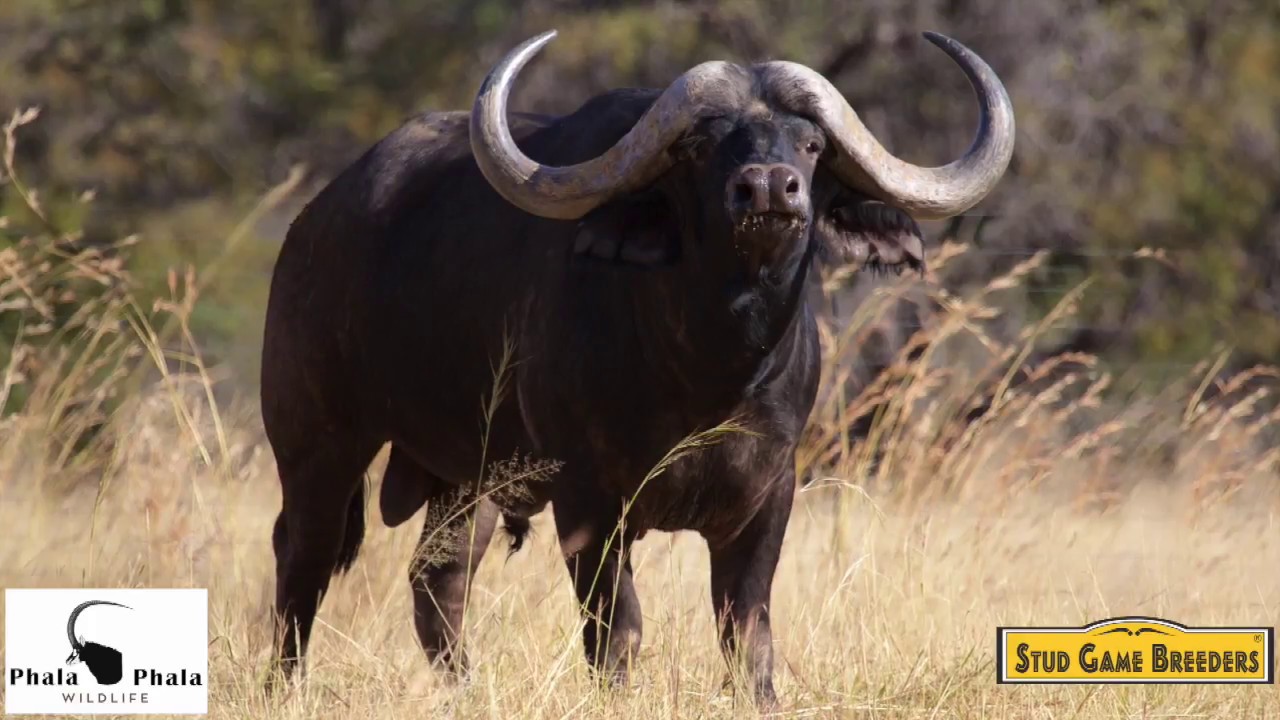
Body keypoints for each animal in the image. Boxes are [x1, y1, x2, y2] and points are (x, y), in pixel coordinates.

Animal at [260, 29, 1014, 707]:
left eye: (811, 145)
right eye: (703, 147)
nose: (769, 189)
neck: (710, 372)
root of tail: (314, 221)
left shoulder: (769, 494)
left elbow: (746, 631)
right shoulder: (589, 501)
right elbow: (617, 631)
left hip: (466, 479)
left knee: (437, 578)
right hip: (318, 445)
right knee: (303, 558)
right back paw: (283, 686)